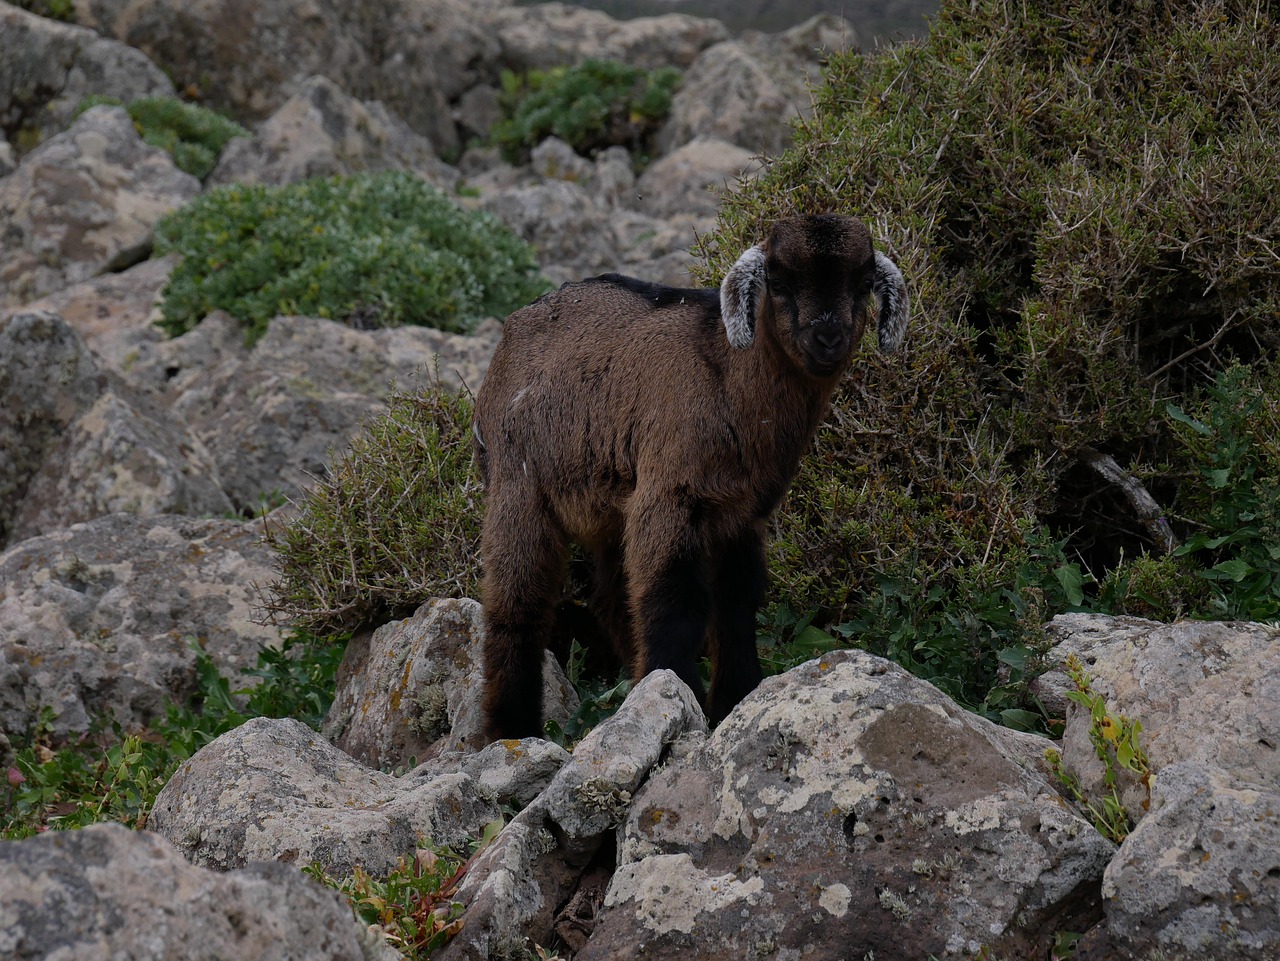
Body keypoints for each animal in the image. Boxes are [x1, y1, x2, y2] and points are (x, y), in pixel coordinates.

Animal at [473, 213, 909, 740]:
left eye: (863, 284)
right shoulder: (670, 495)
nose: (827, 338)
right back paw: (511, 729)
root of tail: (511, 333)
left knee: (612, 598)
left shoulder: (743, 514)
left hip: (609, 504)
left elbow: (736, 601)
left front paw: (734, 696)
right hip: (519, 485)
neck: (726, 380)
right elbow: (674, 601)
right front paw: (677, 691)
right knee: (517, 604)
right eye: (779, 282)